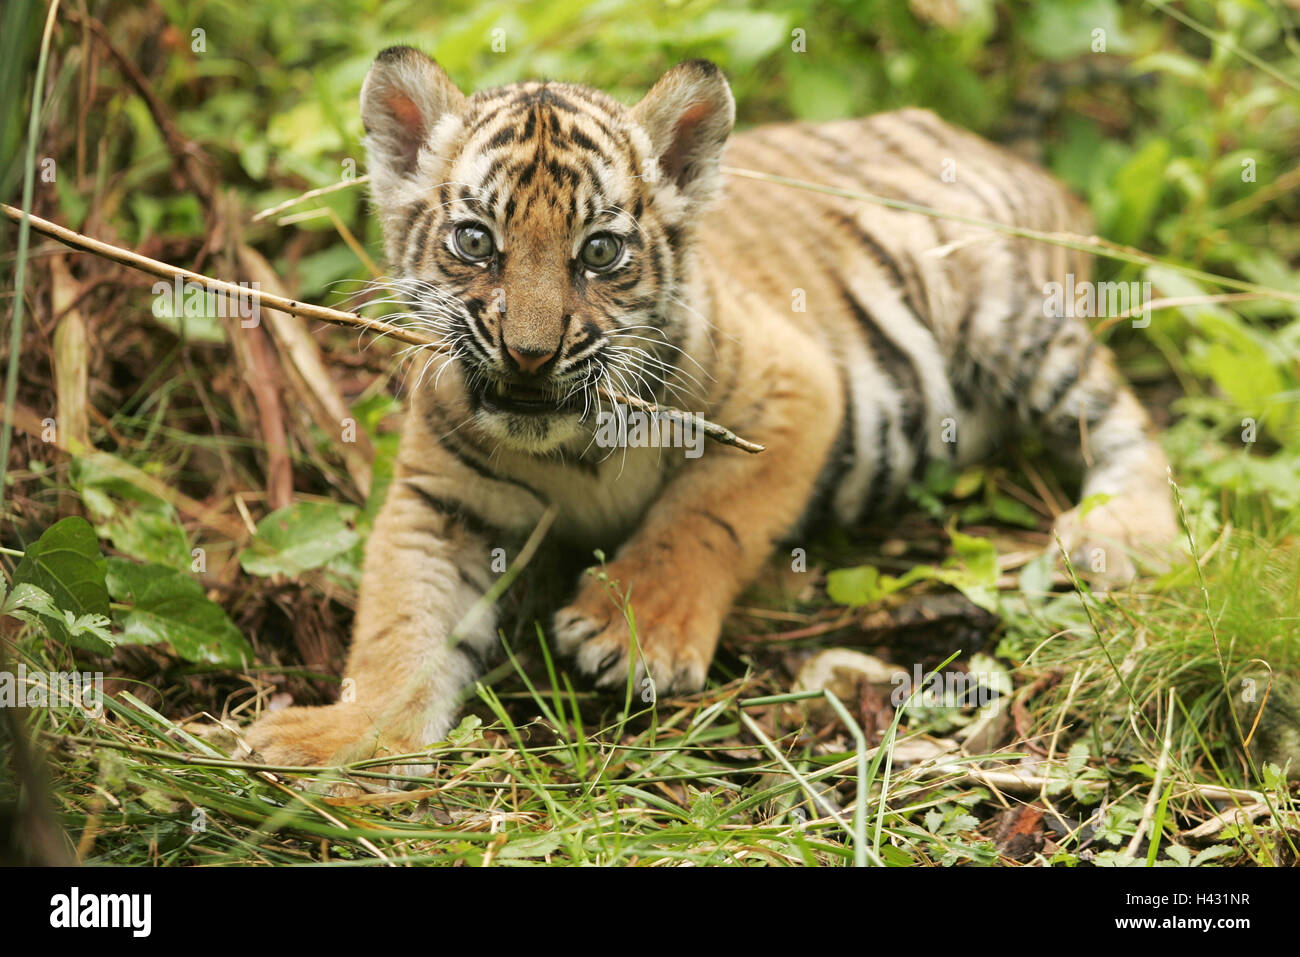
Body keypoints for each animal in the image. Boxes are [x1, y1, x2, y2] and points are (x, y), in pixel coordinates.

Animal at [242, 47, 1178, 768]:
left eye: (599, 252)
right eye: (476, 241)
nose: (529, 353)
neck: (568, 440)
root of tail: (996, 148)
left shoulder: (796, 388)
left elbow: (703, 516)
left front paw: (635, 630)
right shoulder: (438, 500)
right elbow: (399, 623)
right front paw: (342, 743)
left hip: (1011, 319)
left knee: (1127, 419)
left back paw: (1121, 534)